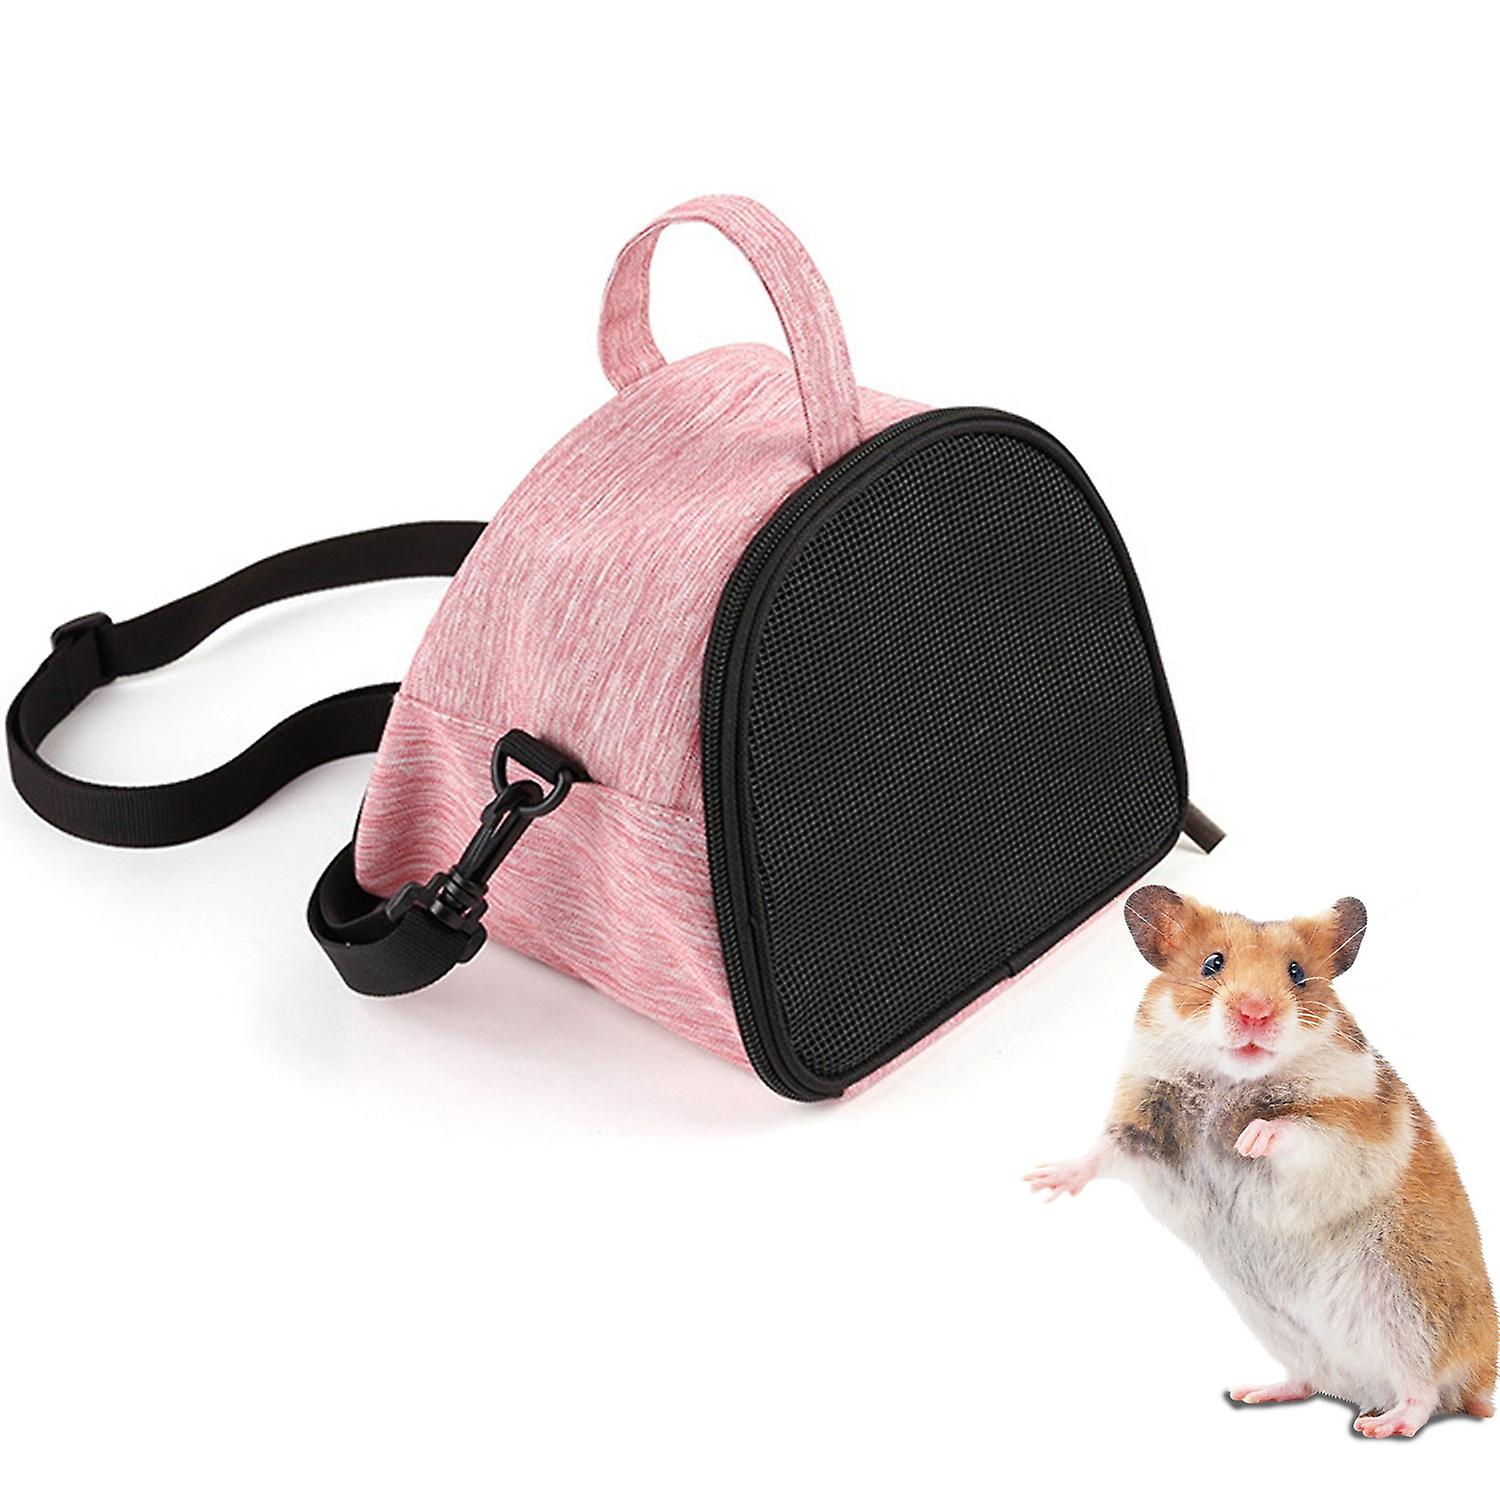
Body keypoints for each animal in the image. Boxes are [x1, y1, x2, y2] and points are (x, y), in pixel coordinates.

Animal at [1026, 885, 1496, 1438]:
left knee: (1426, 1393)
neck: (1230, 1079)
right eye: (1212, 963)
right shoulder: (1141, 1126)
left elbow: (1296, 1130)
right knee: (1310, 1380)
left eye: (1297, 973)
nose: (1256, 1012)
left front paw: (1249, 1140)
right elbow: (1101, 1153)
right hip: (1282, 1330)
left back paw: (1382, 1425)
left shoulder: (1349, 1129)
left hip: (1411, 1312)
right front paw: (1040, 1181)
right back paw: (1253, 1392)